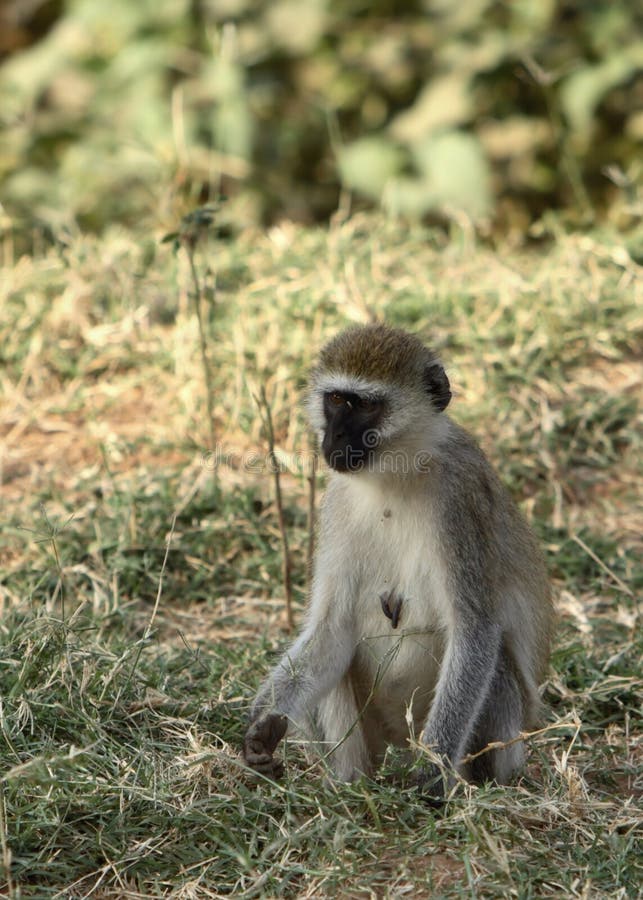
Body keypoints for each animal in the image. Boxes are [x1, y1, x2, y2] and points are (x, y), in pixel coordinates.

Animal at [243, 323, 552, 799]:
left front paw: (431, 775)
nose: (334, 440)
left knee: (495, 663)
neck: (395, 473)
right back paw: (349, 789)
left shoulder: (460, 500)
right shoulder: (337, 502)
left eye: (368, 405)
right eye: (336, 400)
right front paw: (262, 721)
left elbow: (475, 630)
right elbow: (332, 628)